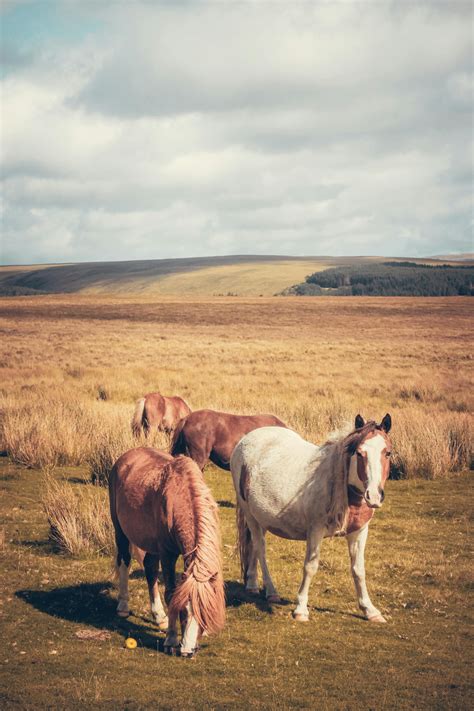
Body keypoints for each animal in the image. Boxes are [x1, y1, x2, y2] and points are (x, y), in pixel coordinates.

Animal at [109, 448, 225, 657]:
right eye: (183, 612)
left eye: (202, 613)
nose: (187, 651)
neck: (180, 497)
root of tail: (125, 458)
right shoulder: (167, 554)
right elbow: (171, 593)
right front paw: (171, 640)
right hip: (120, 531)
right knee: (124, 561)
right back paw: (123, 606)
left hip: (151, 544)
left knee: (150, 570)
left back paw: (159, 616)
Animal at [230, 414, 392, 623]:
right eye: (359, 453)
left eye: (387, 453)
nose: (373, 496)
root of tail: (246, 440)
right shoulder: (315, 530)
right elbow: (310, 567)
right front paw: (301, 609)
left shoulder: (359, 532)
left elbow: (358, 569)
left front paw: (370, 610)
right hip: (249, 514)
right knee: (260, 549)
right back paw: (271, 591)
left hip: (261, 518)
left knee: (254, 548)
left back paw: (251, 583)